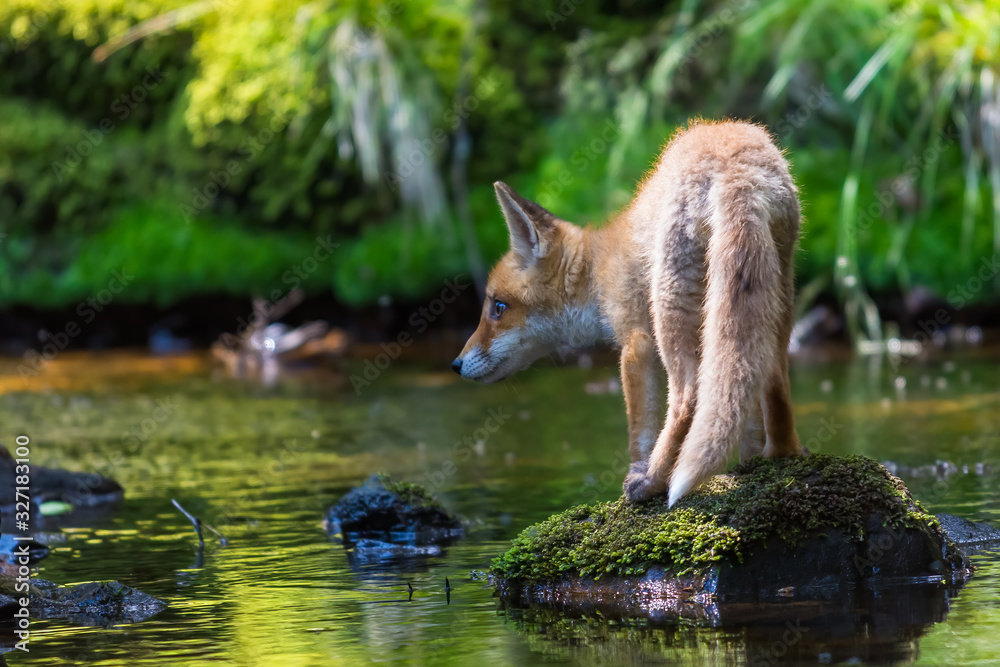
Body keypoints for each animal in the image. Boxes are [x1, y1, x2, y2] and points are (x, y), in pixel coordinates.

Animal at [452, 119, 803, 506]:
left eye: (498, 307)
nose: (456, 364)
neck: (596, 271)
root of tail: (737, 163)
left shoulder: (637, 342)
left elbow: (640, 435)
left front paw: (639, 473)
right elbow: (748, 422)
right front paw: (747, 467)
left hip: (670, 309)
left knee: (688, 397)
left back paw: (655, 481)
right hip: (772, 298)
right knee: (774, 384)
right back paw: (781, 456)